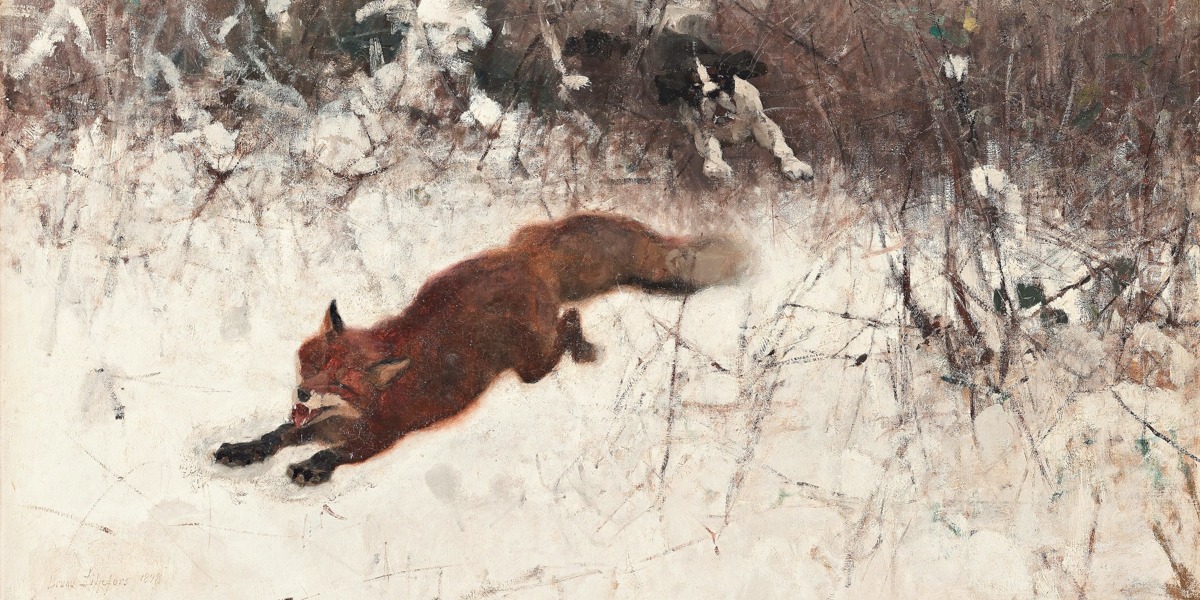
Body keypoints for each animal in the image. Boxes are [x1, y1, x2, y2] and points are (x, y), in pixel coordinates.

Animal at [213, 213, 746, 485]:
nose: (304, 393)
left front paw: (311, 467)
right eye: (316, 364)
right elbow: (276, 435)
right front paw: (243, 449)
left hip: (531, 363)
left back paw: (583, 347)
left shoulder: (381, 435)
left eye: (341, 382)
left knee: (568, 323)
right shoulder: (315, 422)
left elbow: (336, 454)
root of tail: (524, 256)